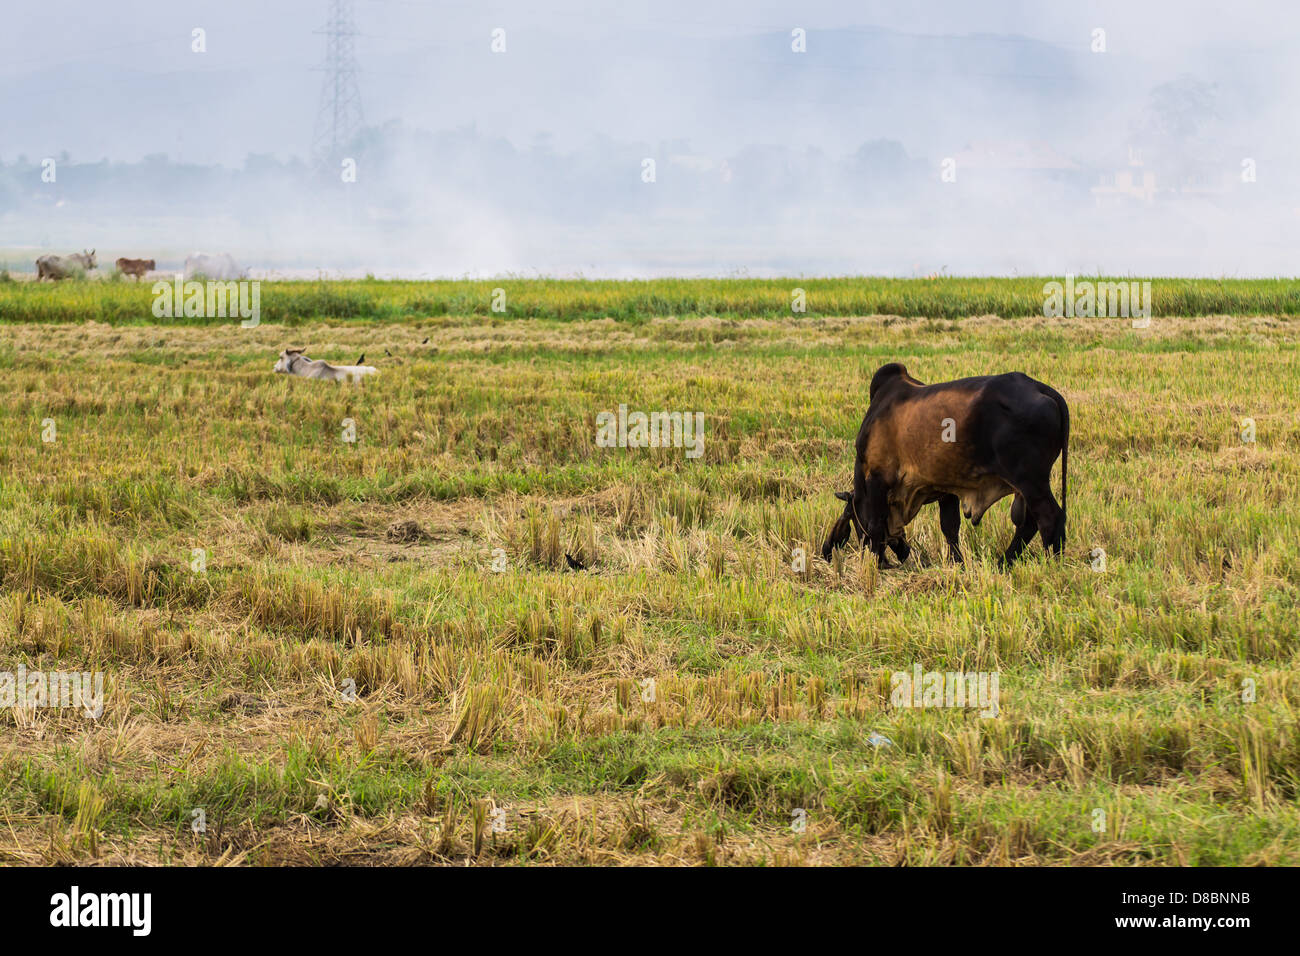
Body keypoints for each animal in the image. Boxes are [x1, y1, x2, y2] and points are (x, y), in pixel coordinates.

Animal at [821, 363, 1069, 569]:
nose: (826, 551)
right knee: (1029, 524)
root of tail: (1039, 388)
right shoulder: (945, 488)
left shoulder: (877, 478)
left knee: (1049, 518)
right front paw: (957, 563)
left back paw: (1053, 566)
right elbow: (950, 528)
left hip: (1030, 481)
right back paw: (1004, 563)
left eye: (852, 520)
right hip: (1026, 486)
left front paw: (877, 564)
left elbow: (875, 524)